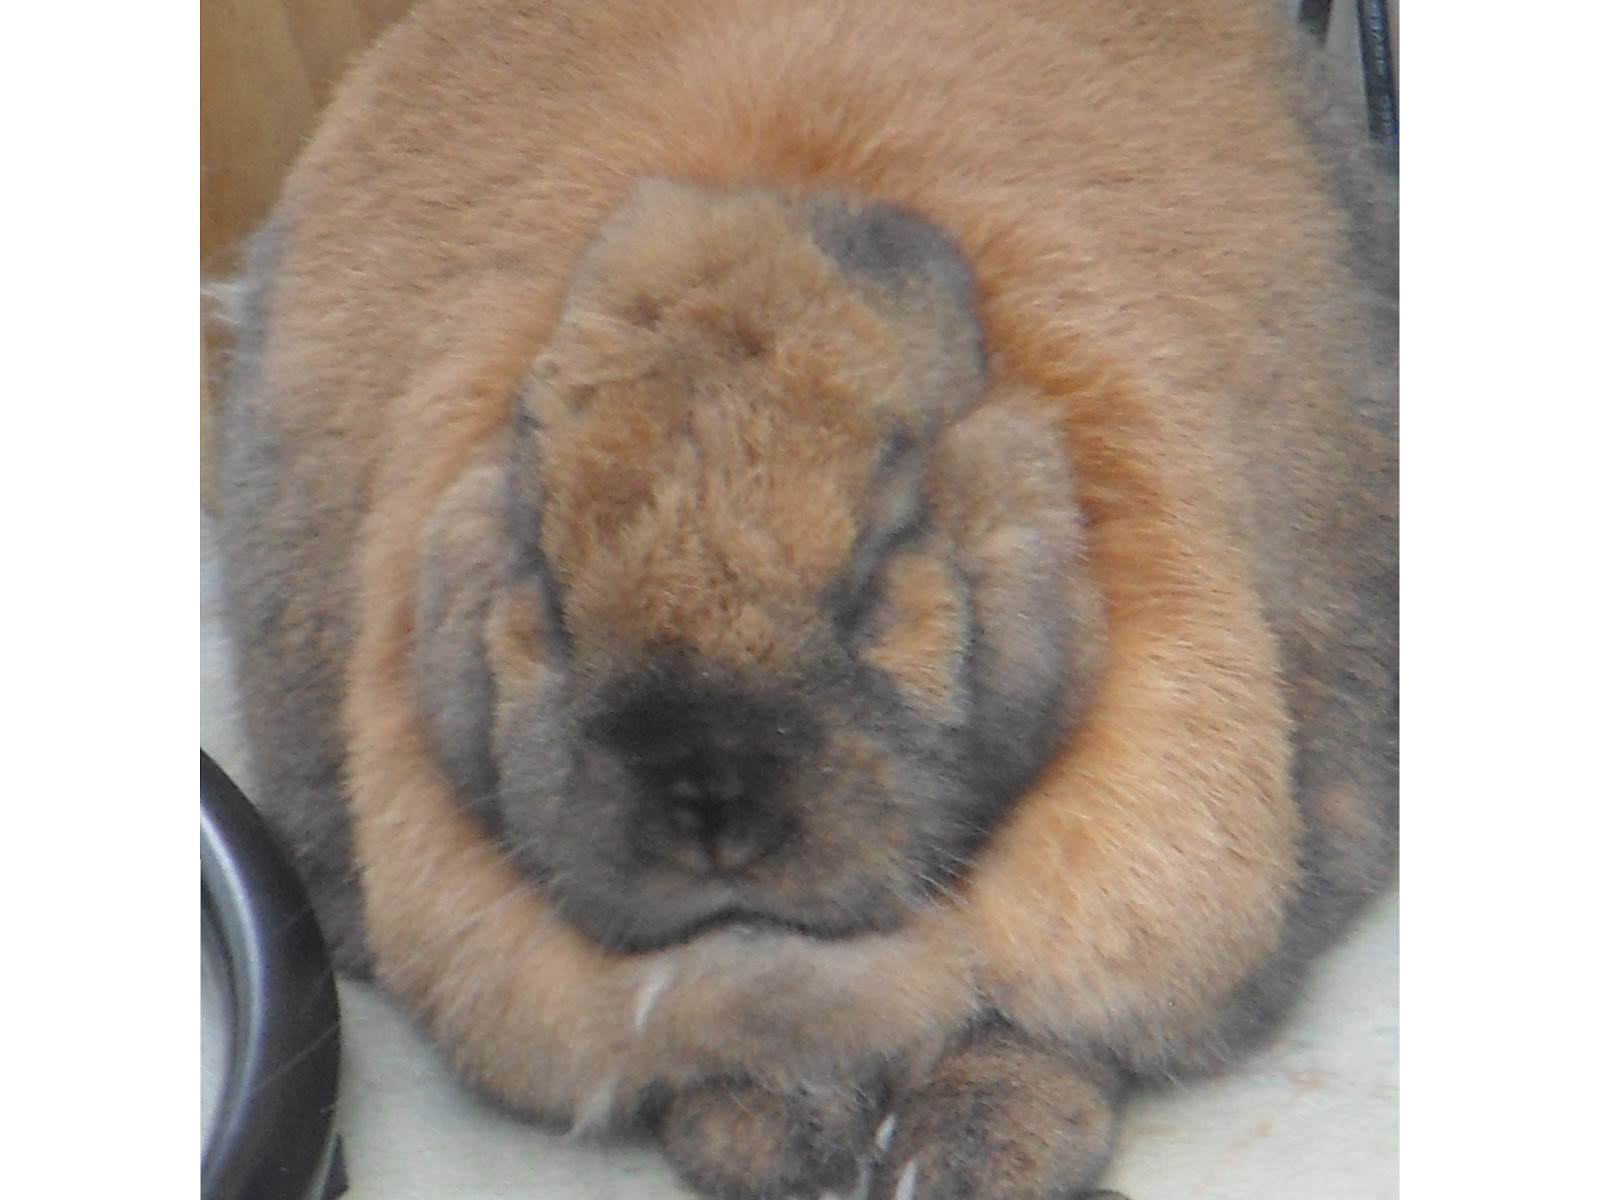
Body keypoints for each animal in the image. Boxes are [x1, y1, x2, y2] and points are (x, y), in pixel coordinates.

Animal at [214, 1, 1397, 1197]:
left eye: (875, 572)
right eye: (546, 582)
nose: (708, 805)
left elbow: (1040, 1037)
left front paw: (971, 1161)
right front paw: (782, 1151)